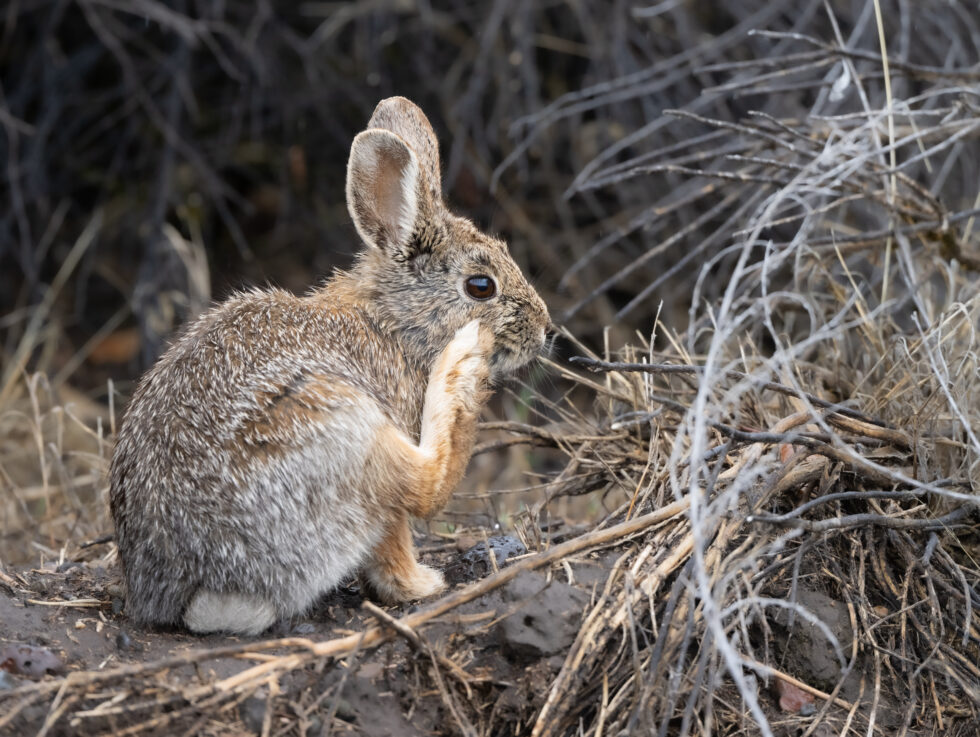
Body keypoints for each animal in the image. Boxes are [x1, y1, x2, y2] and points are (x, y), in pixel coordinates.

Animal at [109, 97, 550, 636]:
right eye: (481, 286)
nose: (544, 330)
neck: (392, 322)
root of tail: (196, 592)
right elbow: (394, 542)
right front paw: (419, 586)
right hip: (342, 426)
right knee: (422, 488)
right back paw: (461, 367)